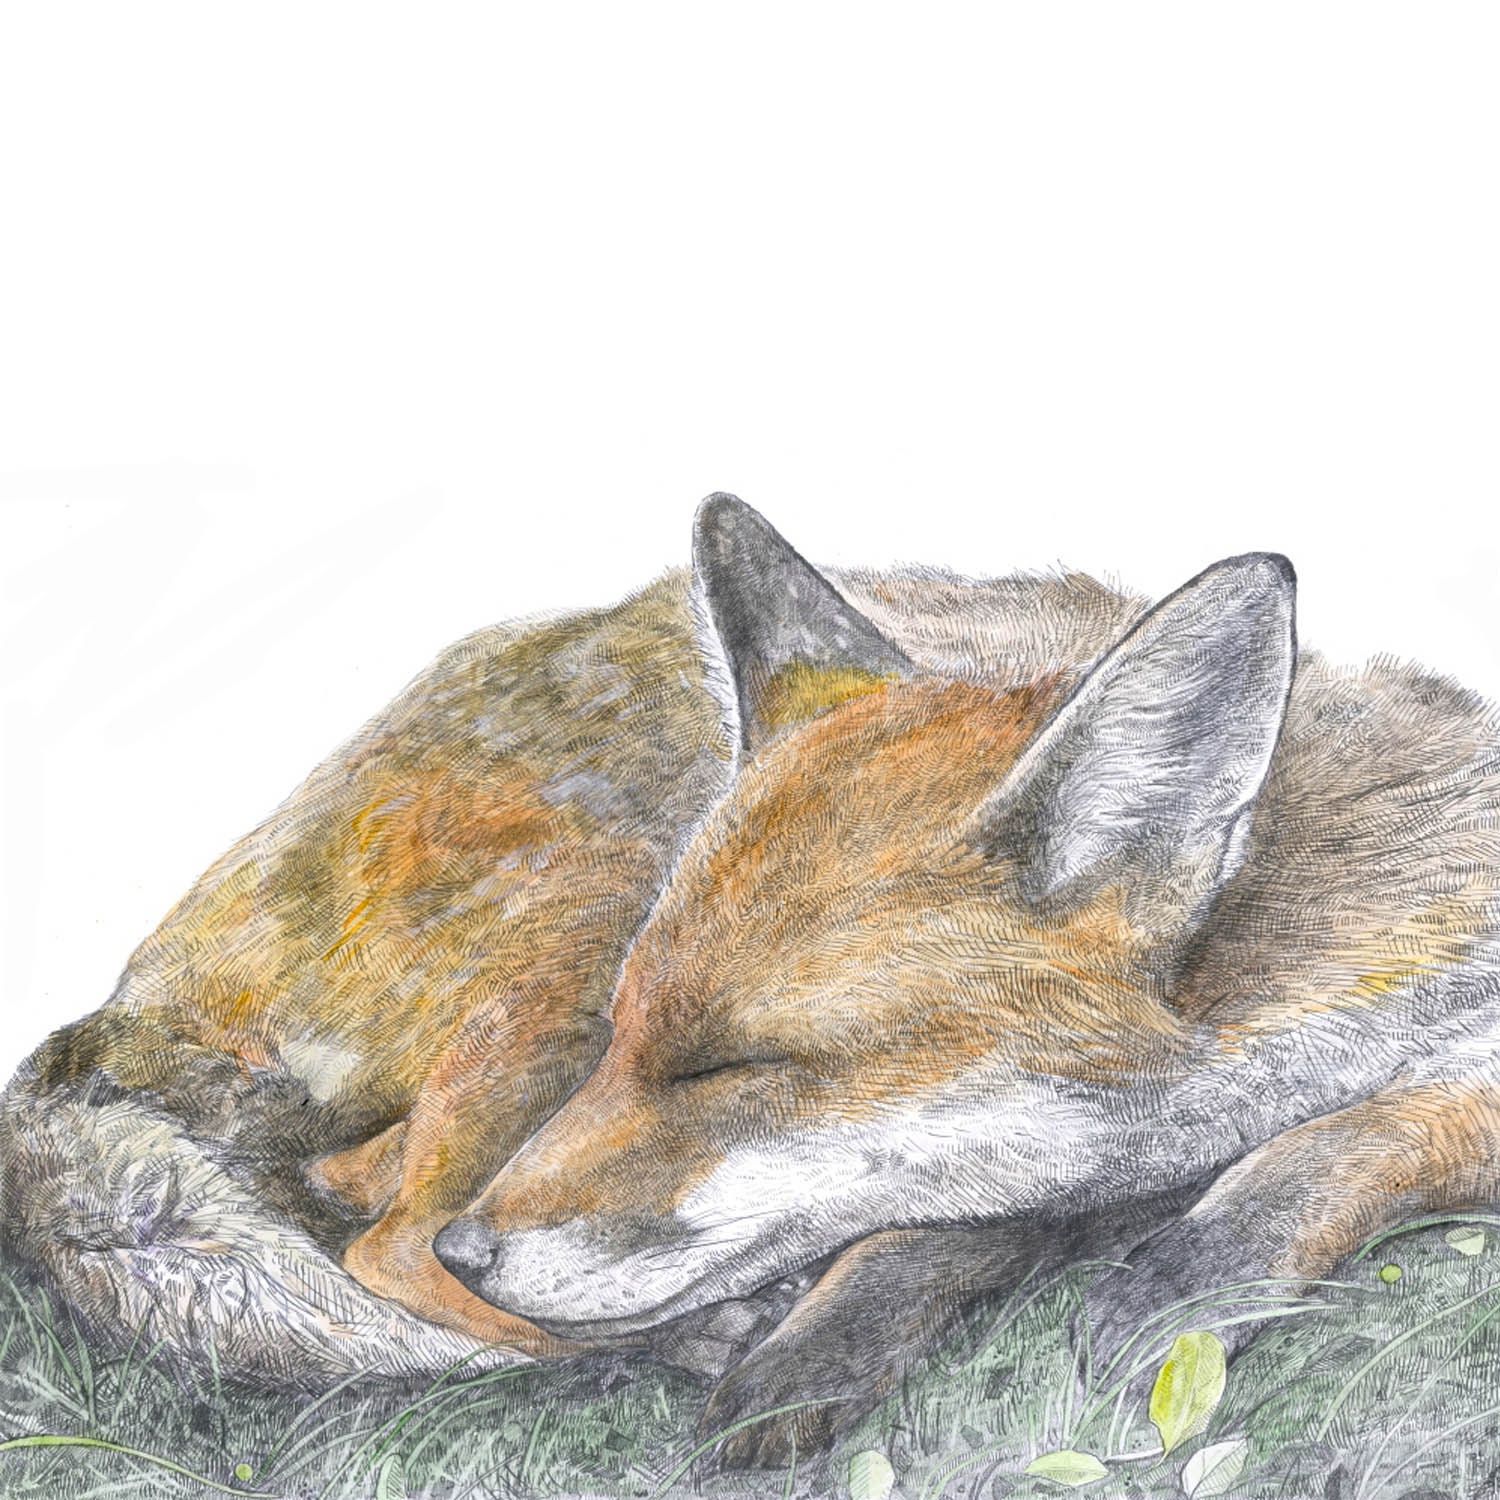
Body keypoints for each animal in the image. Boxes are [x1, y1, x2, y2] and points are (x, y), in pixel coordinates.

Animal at [430, 498, 1500, 1466]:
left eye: (729, 1067)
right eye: (615, 1036)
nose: (462, 1253)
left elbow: (1350, 1138)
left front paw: (1194, 1280)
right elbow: (930, 1225)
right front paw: (823, 1339)